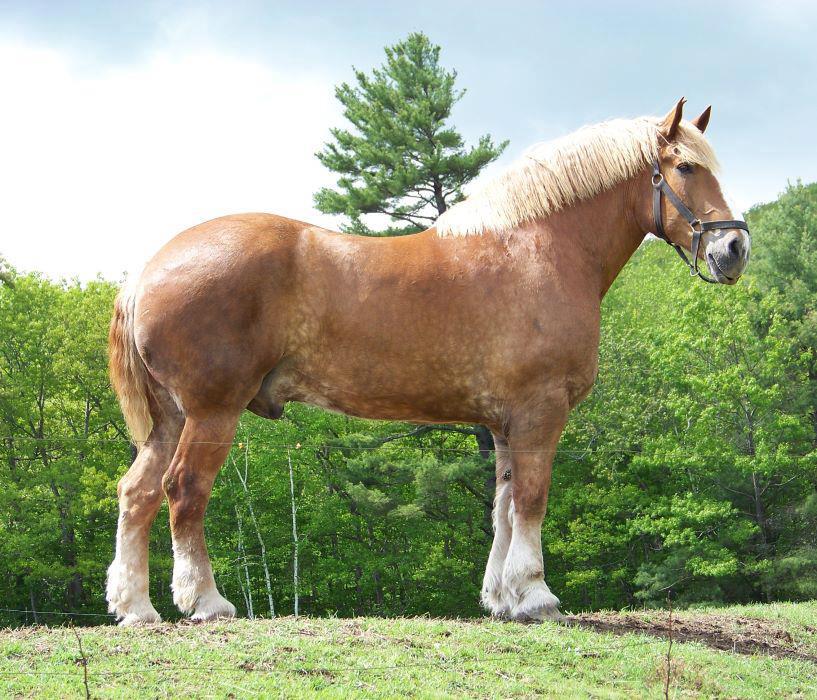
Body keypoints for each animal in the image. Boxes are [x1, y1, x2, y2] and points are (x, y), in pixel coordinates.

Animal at [106, 98, 750, 625]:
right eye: (686, 168)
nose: (734, 248)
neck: (540, 248)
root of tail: (146, 270)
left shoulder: (503, 422)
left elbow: (504, 507)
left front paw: (501, 597)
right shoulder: (540, 411)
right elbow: (533, 498)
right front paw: (536, 596)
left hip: (171, 419)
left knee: (137, 492)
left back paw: (137, 608)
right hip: (212, 411)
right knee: (183, 490)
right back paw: (205, 602)